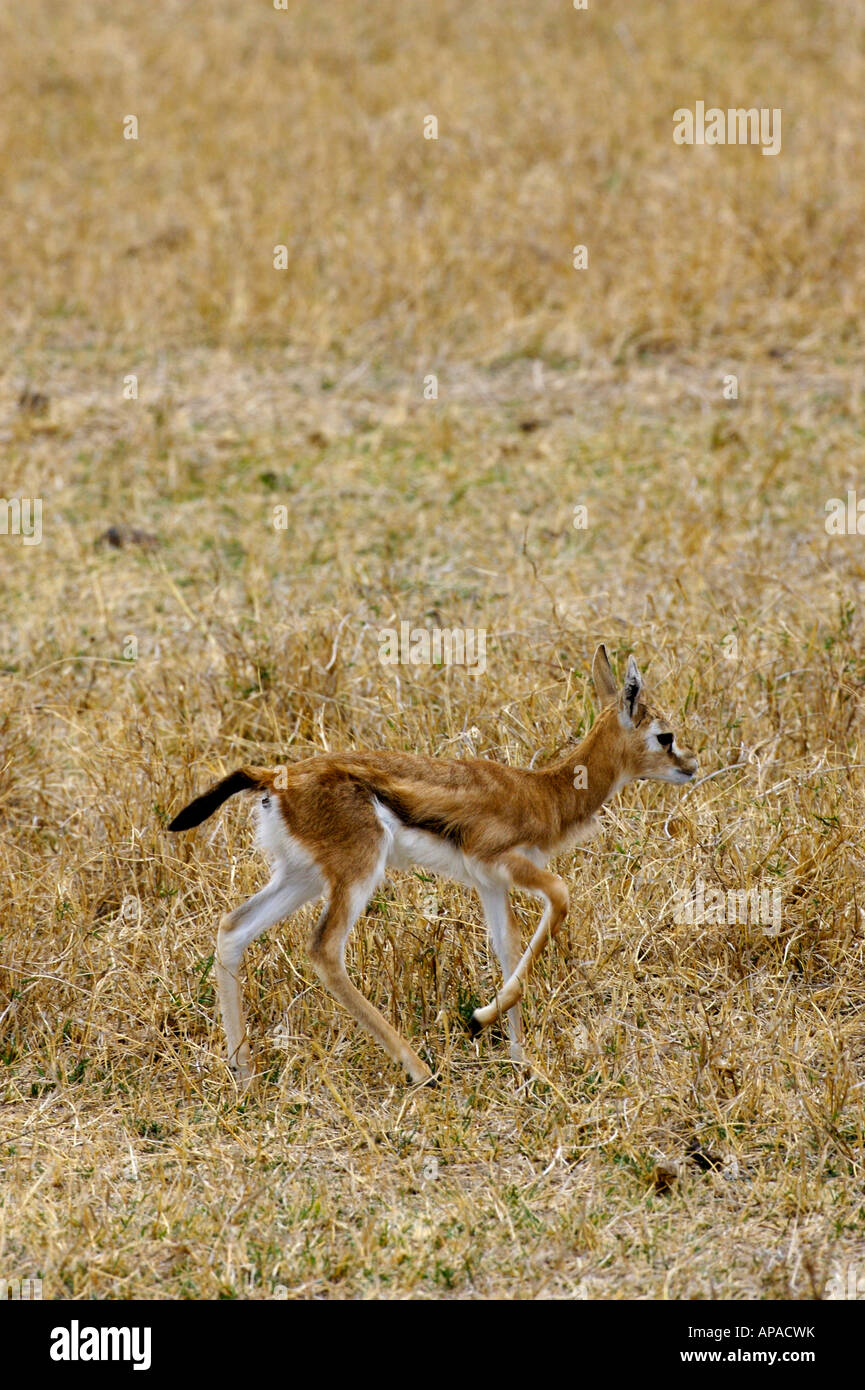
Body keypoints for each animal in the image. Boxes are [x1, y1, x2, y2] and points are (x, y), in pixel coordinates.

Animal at [167, 645, 697, 1087]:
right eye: (664, 735)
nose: (691, 765)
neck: (543, 792)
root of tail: (275, 778)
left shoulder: (490, 884)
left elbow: (507, 948)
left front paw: (522, 1060)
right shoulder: (504, 863)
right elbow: (562, 899)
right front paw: (478, 1021)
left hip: (302, 877)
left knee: (233, 929)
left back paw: (243, 1074)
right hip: (356, 873)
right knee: (324, 950)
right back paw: (420, 1071)